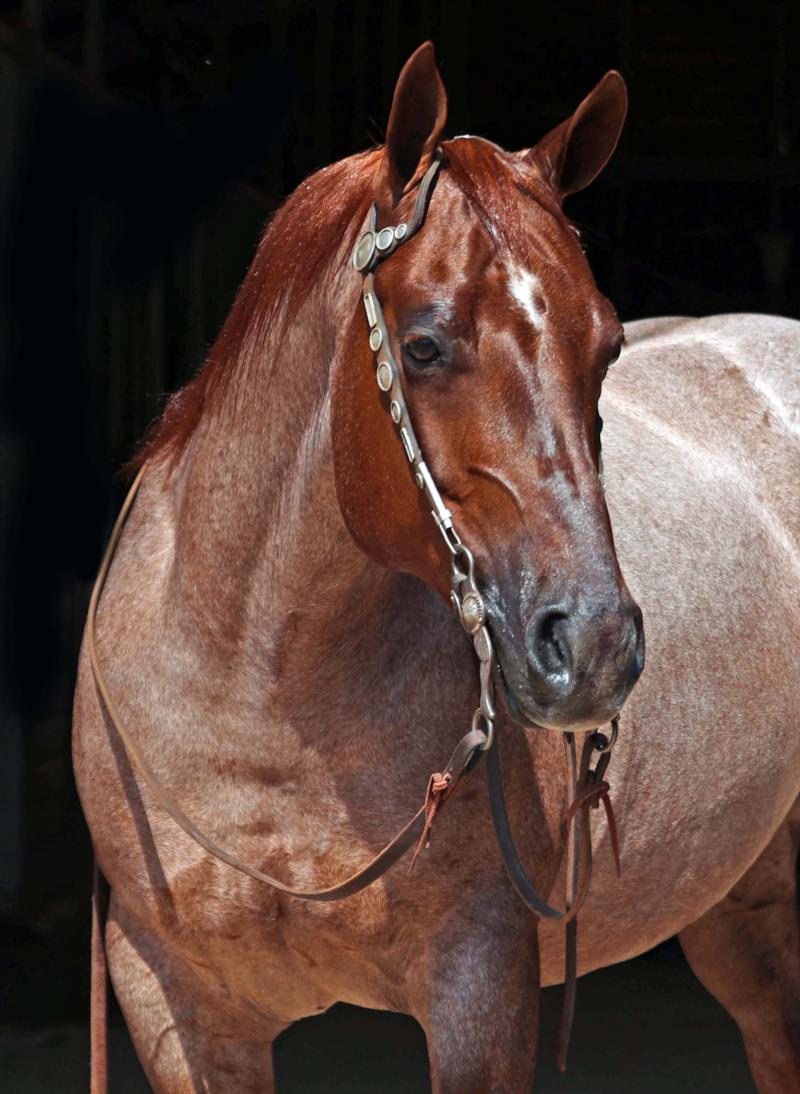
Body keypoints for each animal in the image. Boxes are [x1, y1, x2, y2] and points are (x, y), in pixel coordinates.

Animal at [73, 42, 800, 1093]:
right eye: (422, 344)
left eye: (607, 345)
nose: (594, 647)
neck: (257, 706)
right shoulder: (172, 1001)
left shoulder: (479, 986)